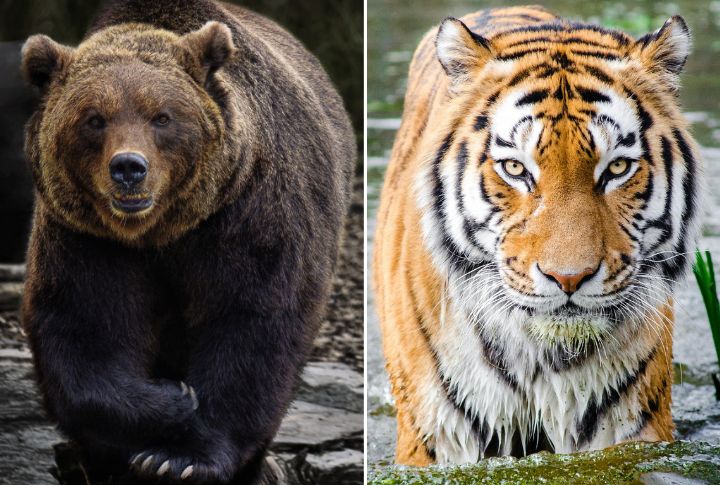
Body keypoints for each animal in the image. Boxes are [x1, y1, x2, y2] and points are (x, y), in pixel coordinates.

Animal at [20, 0, 355, 482]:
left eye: (162, 116)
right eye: (94, 119)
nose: (128, 168)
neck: (162, 230)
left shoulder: (249, 214)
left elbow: (252, 319)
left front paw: (182, 458)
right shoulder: (85, 234)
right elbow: (84, 325)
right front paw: (171, 403)